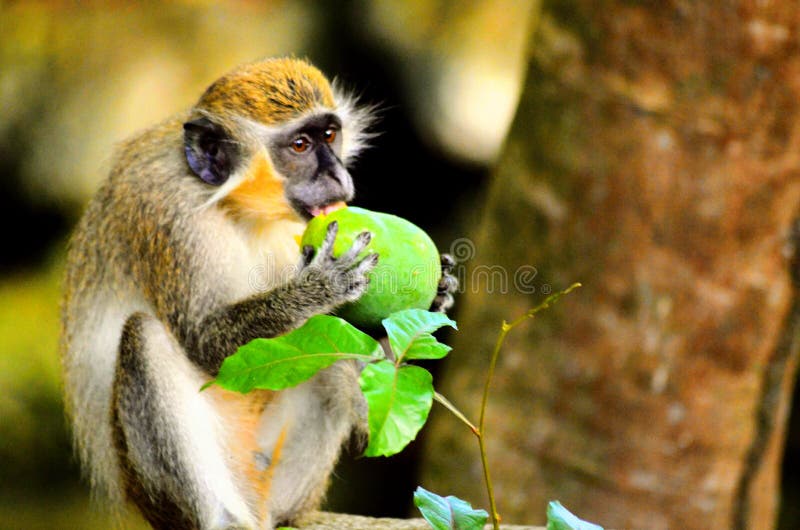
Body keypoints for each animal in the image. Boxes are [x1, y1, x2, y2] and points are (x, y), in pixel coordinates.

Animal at [60, 58, 457, 530]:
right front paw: (317, 287)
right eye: (300, 146)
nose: (339, 176)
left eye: (329, 135)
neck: (240, 209)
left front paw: (440, 293)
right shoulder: (170, 214)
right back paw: (225, 520)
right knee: (145, 336)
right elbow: (203, 342)